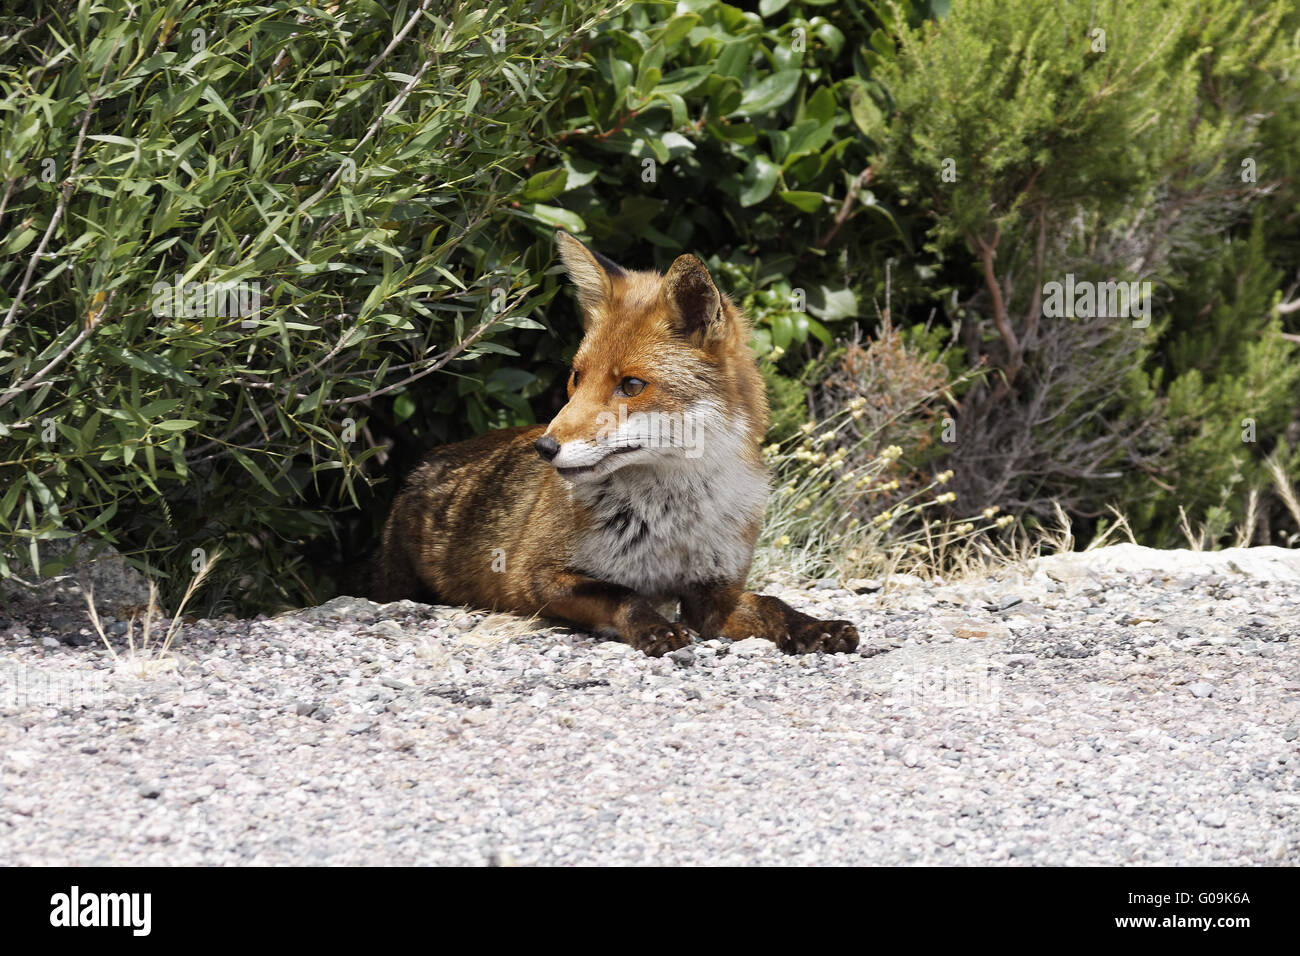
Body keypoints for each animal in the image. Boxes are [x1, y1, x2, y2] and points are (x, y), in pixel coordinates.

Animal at [365, 231, 859, 657]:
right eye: (576, 377)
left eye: (632, 385)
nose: (544, 448)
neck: (671, 520)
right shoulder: (533, 576)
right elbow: (620, 593)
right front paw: (655, 627)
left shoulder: (714, 593)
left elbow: (775, 604)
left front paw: (816, 628)